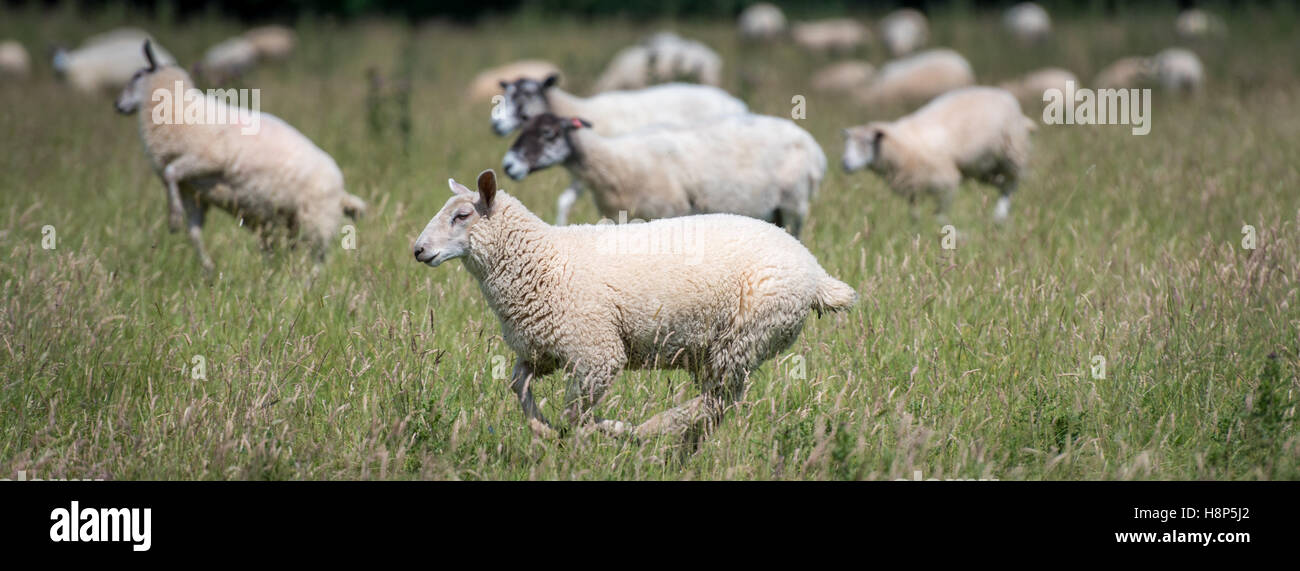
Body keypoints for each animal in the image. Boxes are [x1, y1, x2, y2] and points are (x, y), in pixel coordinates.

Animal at [115, 41, 365, 271]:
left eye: (137, 75)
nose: (117, 106)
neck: (178, 105)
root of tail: (342, 192)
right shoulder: (193, 191)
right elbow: (194, 230)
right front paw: (208, 268)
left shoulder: (208, 160)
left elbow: (170, 172)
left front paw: (174, 219)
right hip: (289, 221)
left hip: (317, 221)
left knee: (318, 259)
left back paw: (306, 283)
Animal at [411, 169, 857, 445]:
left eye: (462, 215)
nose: (418, 250)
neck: (544, 260)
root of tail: (816, 273)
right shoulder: (543, 351)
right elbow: (518, 385)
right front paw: (542, 430)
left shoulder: (596, 353)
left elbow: (575, 415)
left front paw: (598, 431)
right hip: (725, 347)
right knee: (717, 404)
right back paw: (679, 441)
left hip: (744, 336)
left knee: (719, 400)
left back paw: (650, 431)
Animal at [503, 113, 826, 237]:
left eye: (548, 133)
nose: (508, 165)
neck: (613, 161)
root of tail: (813, 148)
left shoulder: (668, 211)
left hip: (794, 204)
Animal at [841, 86, 1034, 224]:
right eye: (847, 144)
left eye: (867, 142)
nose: (845, 164)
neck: (904, 143)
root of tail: (1005, 95)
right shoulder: (913, 185)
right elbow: (914, 213)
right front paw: (915, 229)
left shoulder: (946, 180)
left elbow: (940, 213)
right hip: (985, 168)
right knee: (1002, 184)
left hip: (1012, 155)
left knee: (1011, 185)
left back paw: (1000, 215)